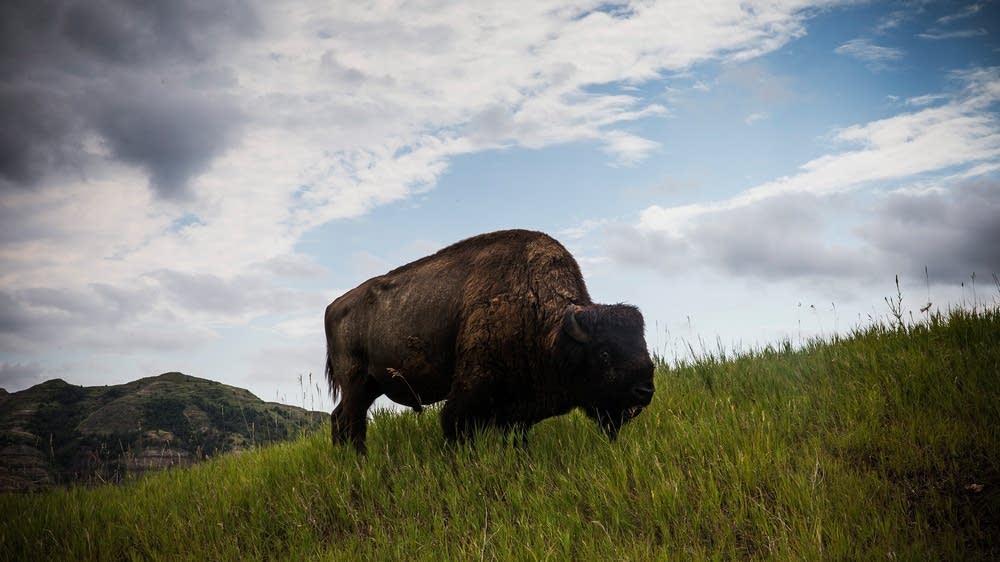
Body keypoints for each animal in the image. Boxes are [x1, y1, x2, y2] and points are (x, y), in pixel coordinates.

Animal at [324, 229, 654, 452]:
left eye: (643, 346)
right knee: (351, 422)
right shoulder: (470, 390)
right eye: (604, 354)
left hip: (370, 386)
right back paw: (359, 459)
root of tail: (334, 306)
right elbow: (454, 425)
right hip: (356, 383)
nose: (645, 391)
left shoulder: (518, 410)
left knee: (340, 418)